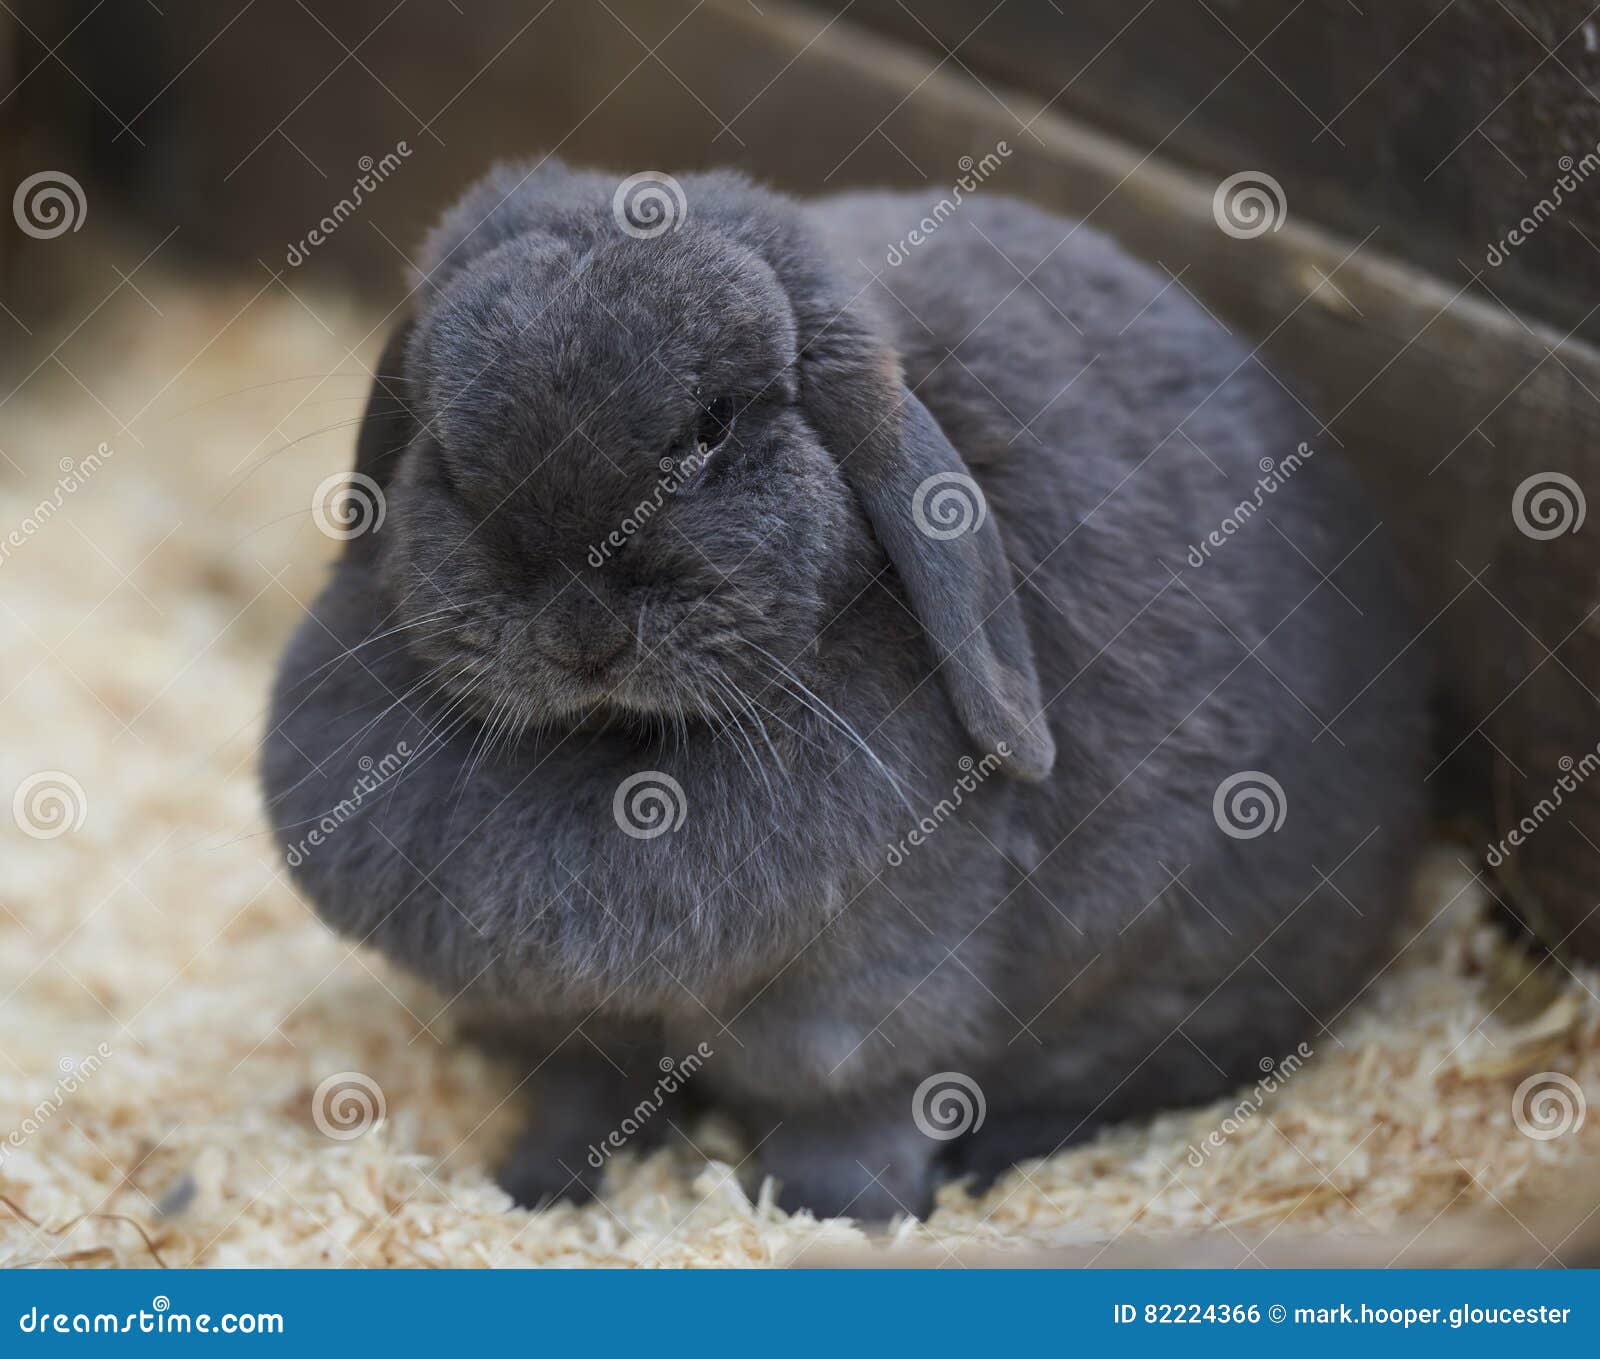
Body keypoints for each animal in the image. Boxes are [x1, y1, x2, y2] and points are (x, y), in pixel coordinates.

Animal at [260, 158, 1430, 1221]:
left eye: (711, 427)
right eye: (449, 457)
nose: (580, 633)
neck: (618, 753)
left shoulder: (866, 1016)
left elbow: (851, 1118)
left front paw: (832, 1216)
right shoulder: (572, 1032)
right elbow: (581, 1098)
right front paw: (534, 1191)